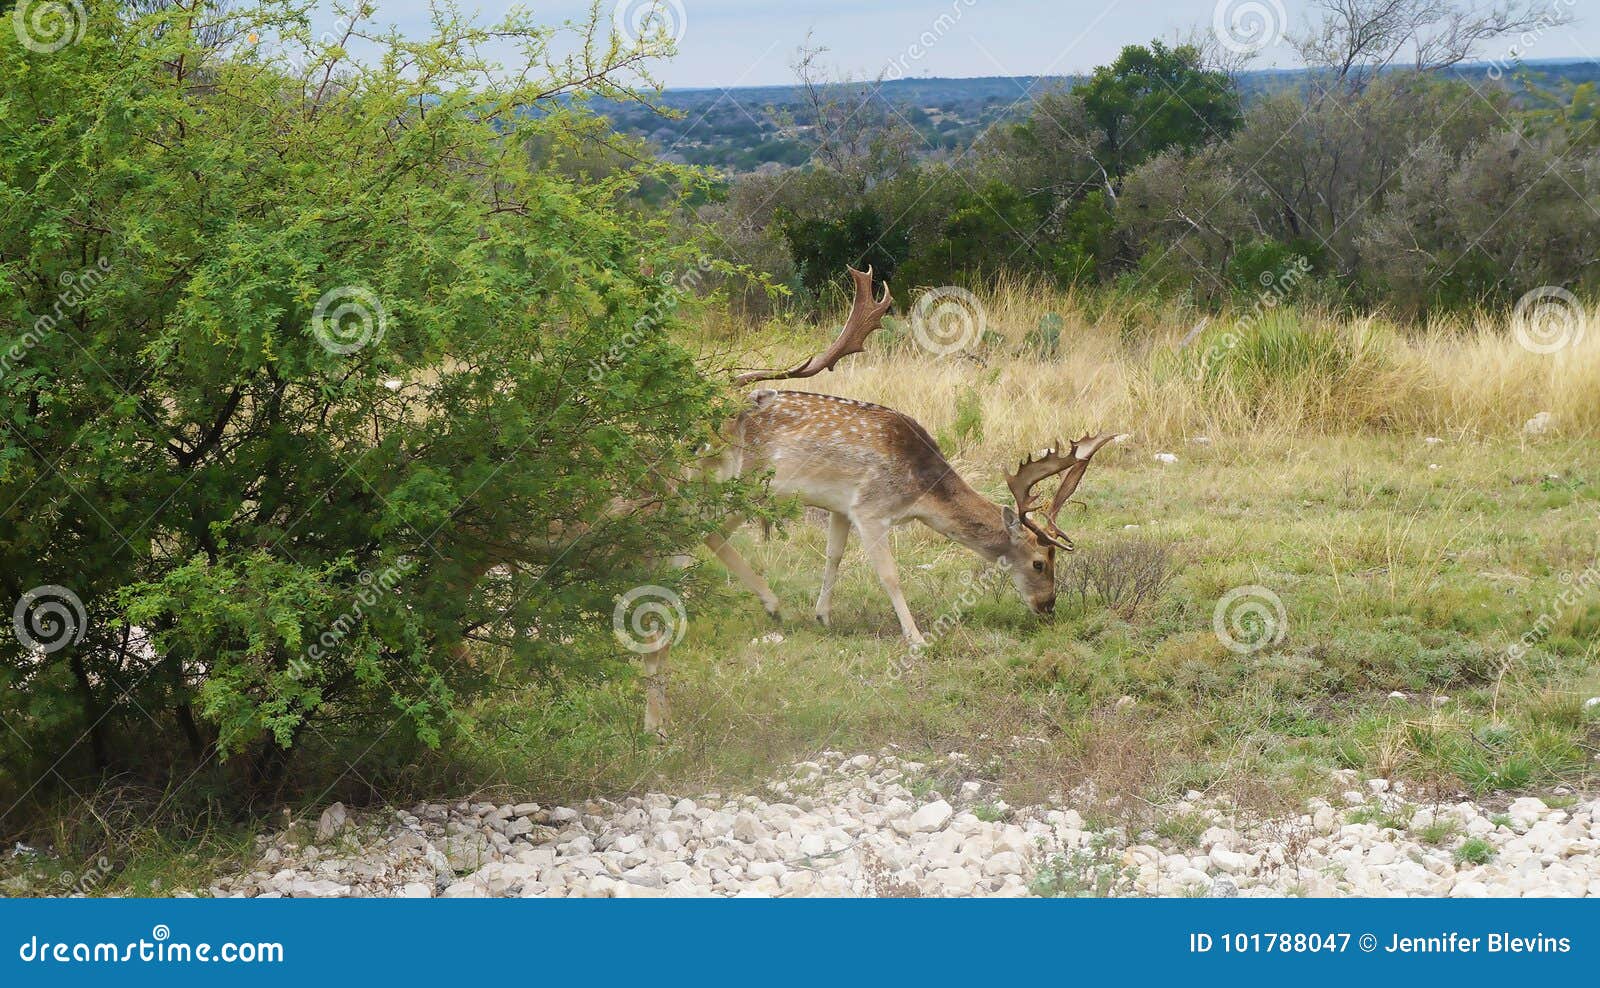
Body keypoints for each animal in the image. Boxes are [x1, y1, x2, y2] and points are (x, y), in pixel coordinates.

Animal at [633, 266, 1117, 732]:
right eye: (1038, 563)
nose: (1047, 607)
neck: (920, 493)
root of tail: (701, 420)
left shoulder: (841, 508)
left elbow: (833, 555)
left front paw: (823, 616)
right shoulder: (871, 509)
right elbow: (889, 575)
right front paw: (916, 638)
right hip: (743, 483)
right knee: (702, 528)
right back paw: (768, 604)